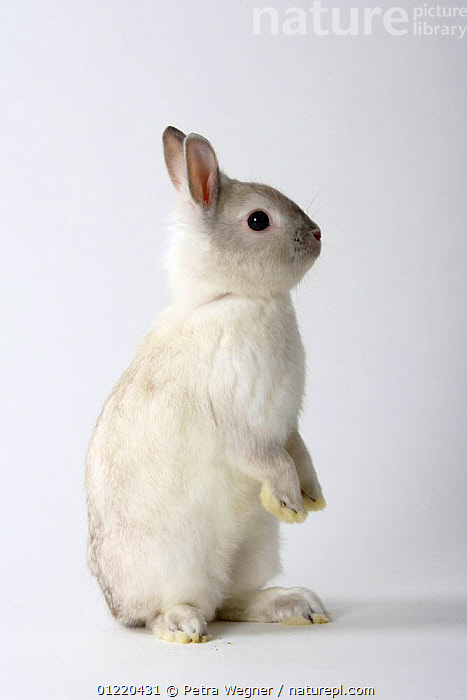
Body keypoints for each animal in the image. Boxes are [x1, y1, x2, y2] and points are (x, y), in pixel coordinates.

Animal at [85, 126, 328, 644]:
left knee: (231, 600)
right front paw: (290, 502)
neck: (232, 297)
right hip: (175, 562)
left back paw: (295, 604)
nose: (319, 233)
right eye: (258, 220)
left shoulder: (288, 425)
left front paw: (312, 498)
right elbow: (272, 460)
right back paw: (184, 627)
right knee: (175, 609)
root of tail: (117, 606)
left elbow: (299, 453)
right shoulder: (241, 428)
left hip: (255, 548)